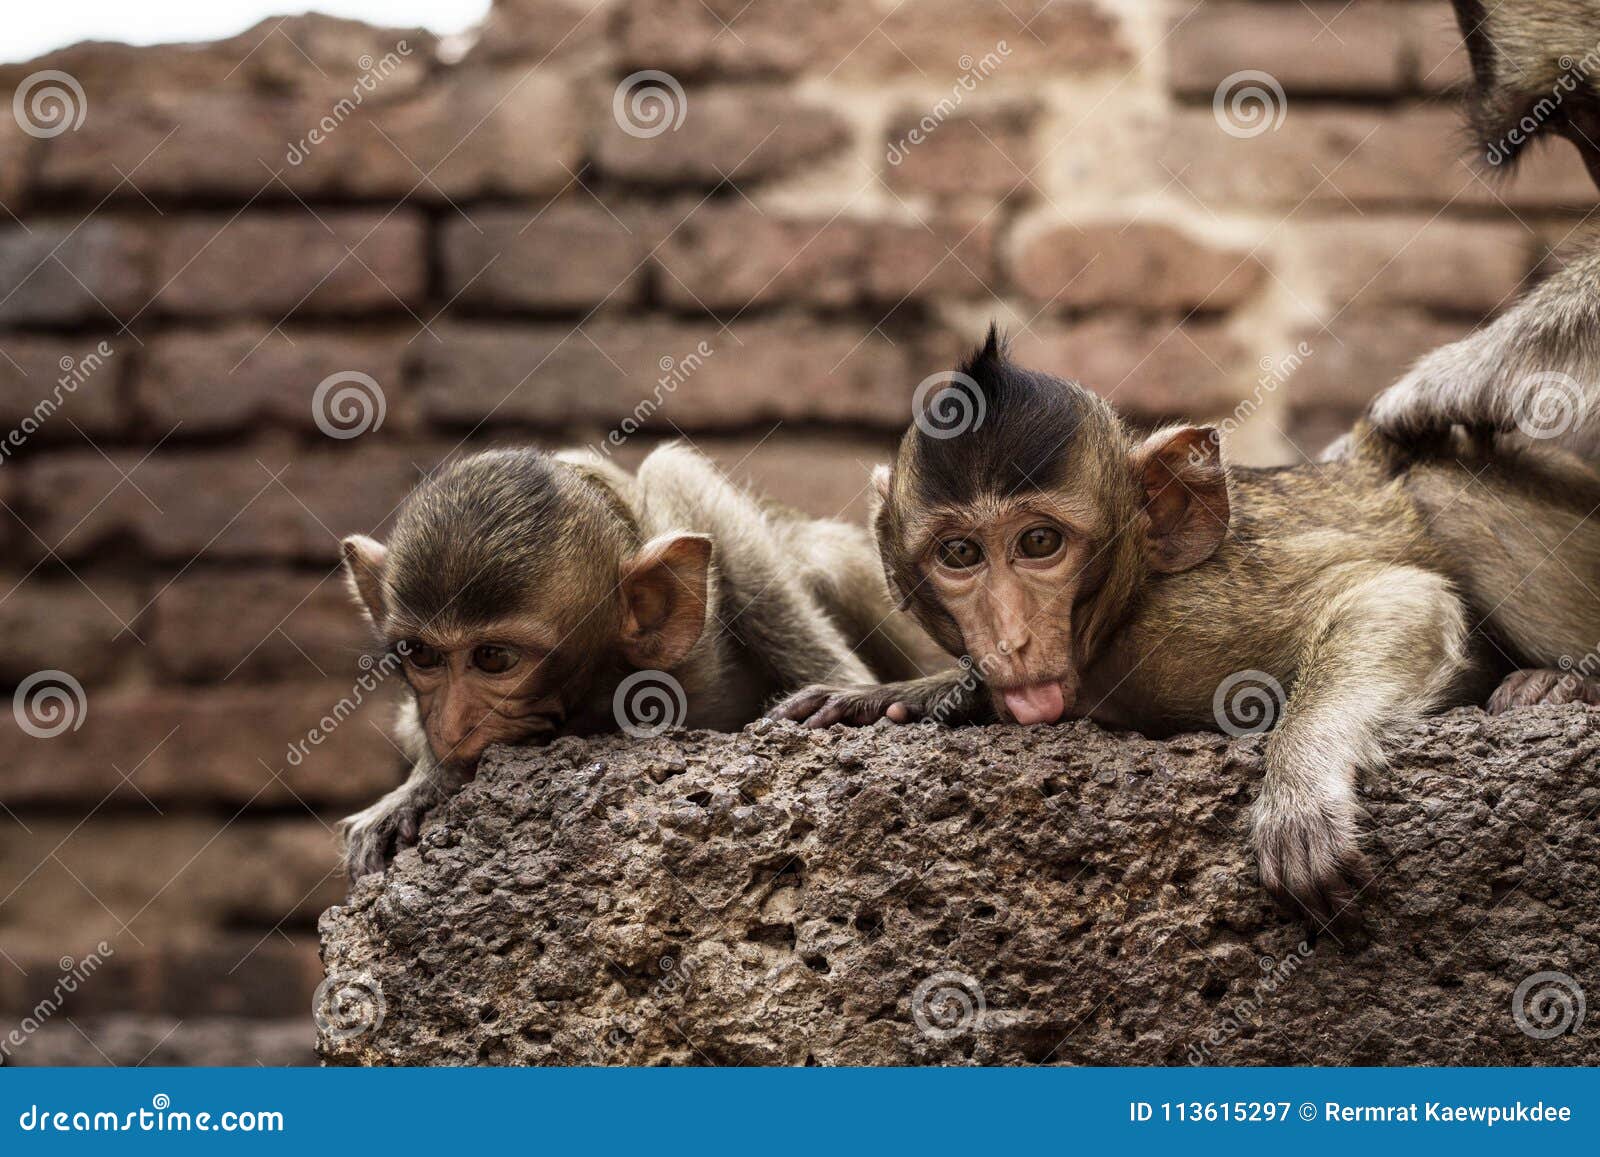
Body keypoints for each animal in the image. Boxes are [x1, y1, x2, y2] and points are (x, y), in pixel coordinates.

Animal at [770, 328, 1600, 924]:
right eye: (960, 554)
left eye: (1039, 542)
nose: (1009, 639)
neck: (1118, 612)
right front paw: (899, 694)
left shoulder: (1189, 626)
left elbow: (1394, 593)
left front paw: (1301, 784)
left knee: (1438, 487)